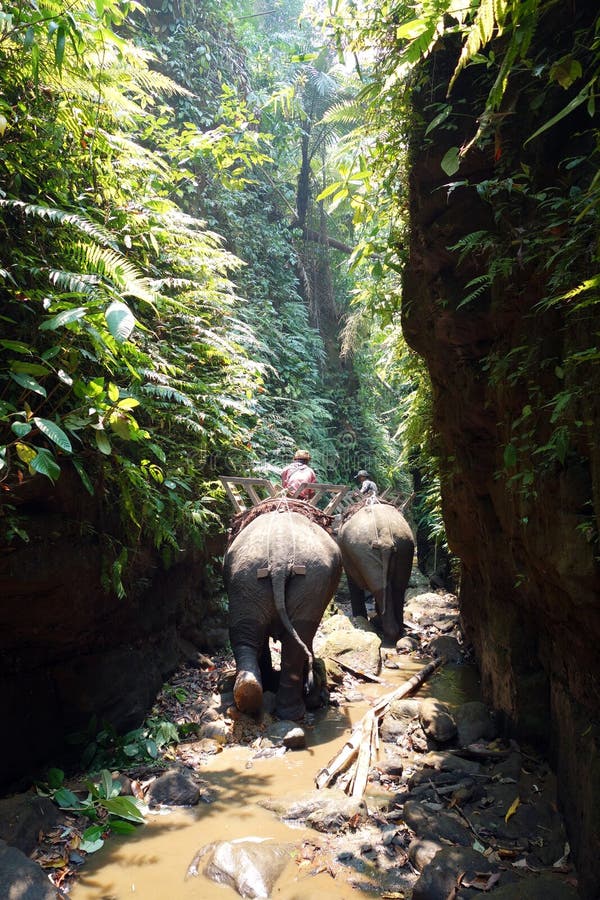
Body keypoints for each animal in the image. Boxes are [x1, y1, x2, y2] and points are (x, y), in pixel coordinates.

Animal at [224, 507, 342, 720]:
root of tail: (279, 554)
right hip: (307, 581)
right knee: (296, 640)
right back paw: (294, 710)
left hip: (246, 579)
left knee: (246, 635)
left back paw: (249, 693)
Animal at [337, 500, 415, 645]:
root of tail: (384, 532)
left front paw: (359, 618)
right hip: (404, 546)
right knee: (397, 588)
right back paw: (398, 631)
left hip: (362, 550)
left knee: (380, 588)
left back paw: (388, 635)